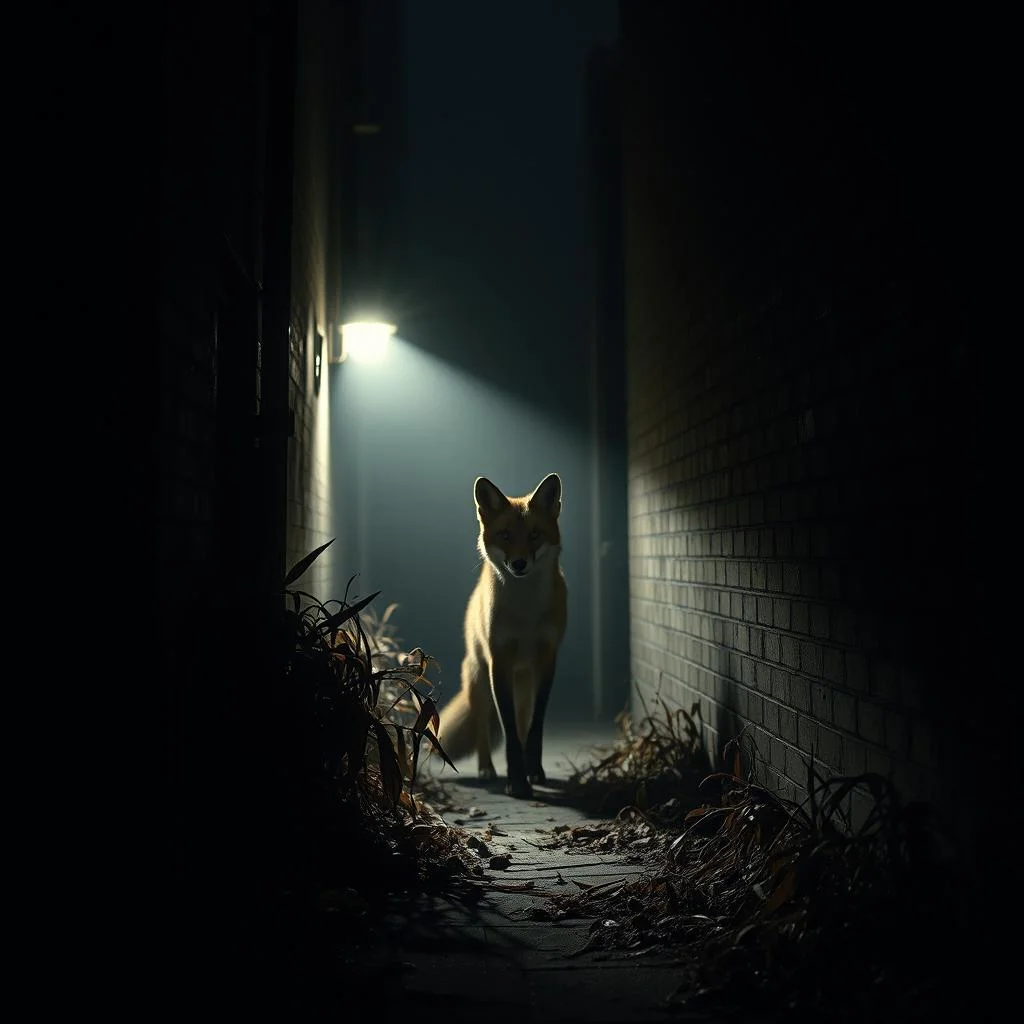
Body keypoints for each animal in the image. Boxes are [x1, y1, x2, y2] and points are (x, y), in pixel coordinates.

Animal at [436, 472, 567, 798]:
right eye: (505, 535)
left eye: (534, 534)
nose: (519, 564)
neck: (526, 614)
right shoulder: (500, 661)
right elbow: (508, 733)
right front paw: (517, 781)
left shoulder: (547, 659)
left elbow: (534, 728)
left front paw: (534, 771)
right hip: (481, 684)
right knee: (483, 729)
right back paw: (486, 770)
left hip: (524, 686)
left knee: (522, 723)